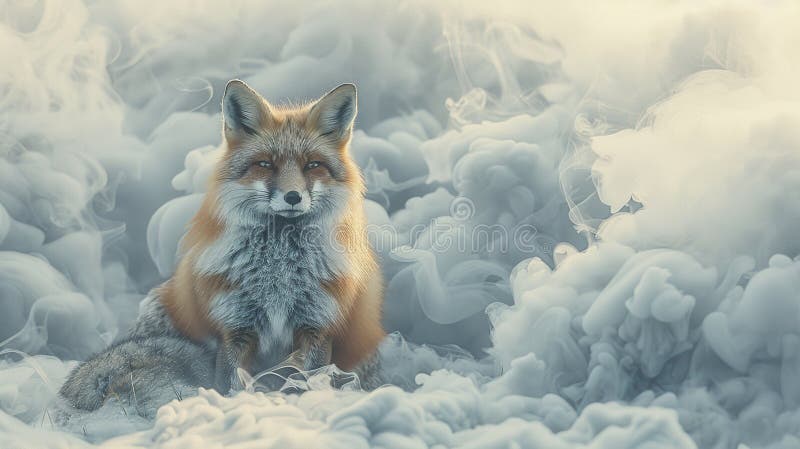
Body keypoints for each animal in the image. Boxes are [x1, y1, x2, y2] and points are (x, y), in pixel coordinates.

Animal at [60, 80, 385, 410]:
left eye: (313, 165)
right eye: (265, 164)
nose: (292, 197)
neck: (278, 275)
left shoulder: (317, 326)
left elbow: (306, 379)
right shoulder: (236, 326)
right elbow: (231, 384)